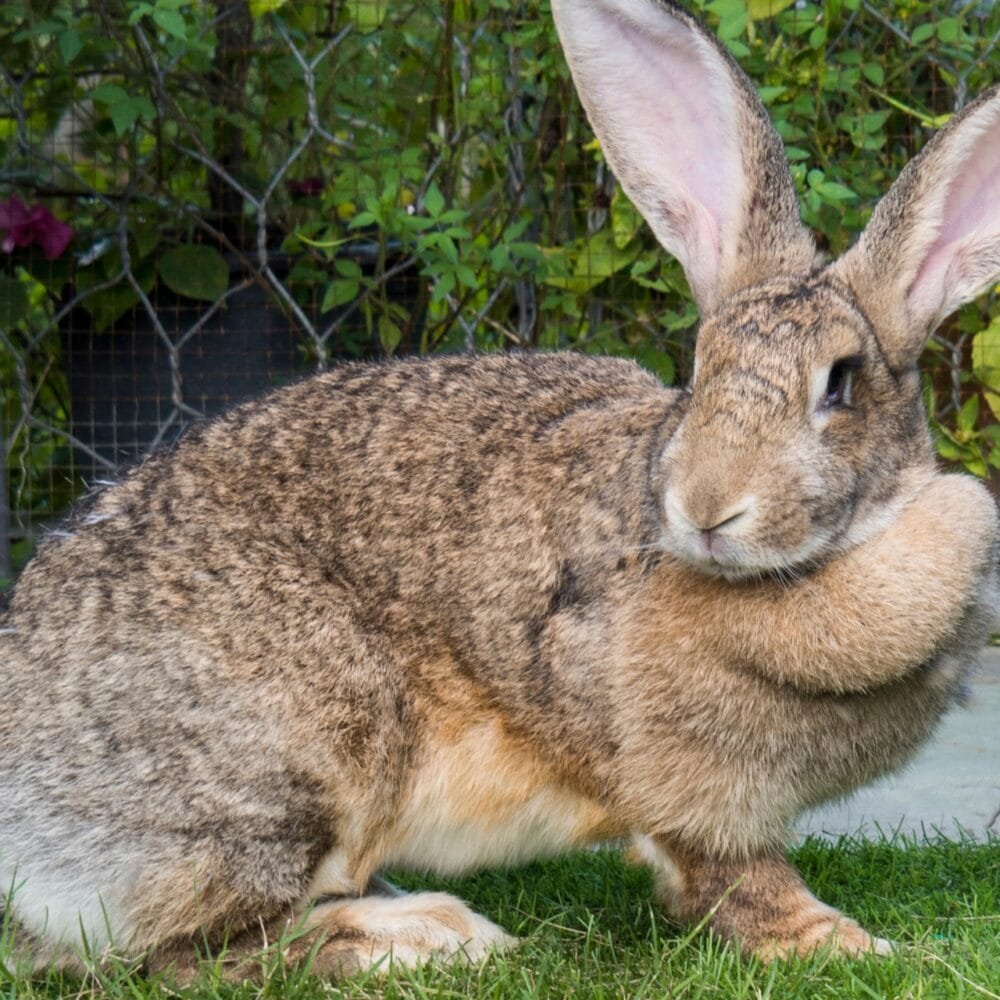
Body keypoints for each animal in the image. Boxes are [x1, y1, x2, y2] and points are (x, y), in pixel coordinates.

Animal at [2, 0, 1000, 980]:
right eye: (700, 371)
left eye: (840, 385)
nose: (707, 508)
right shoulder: (685, 784)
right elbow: (732, 876)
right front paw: (843, 944)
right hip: (298, 754)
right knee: (194, 952)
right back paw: (422, 936)